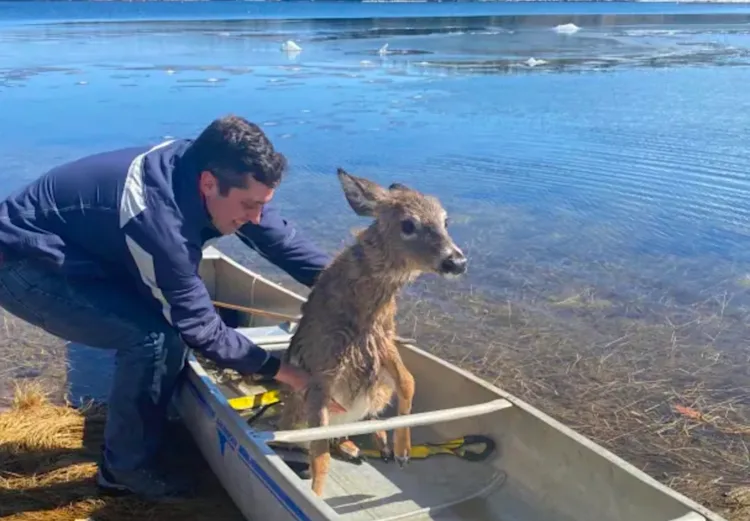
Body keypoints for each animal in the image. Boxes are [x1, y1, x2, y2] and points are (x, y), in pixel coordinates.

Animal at [273, 167, 468, 497]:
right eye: (408, 224)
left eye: (446, 221)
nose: (456, 261)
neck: (361, 316)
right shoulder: (321, 367)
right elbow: (320, 457)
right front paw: (315, 496)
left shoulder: (382, 338)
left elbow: (408, 381)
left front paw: (403, 450)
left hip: (377, 391)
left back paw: (371, 445)